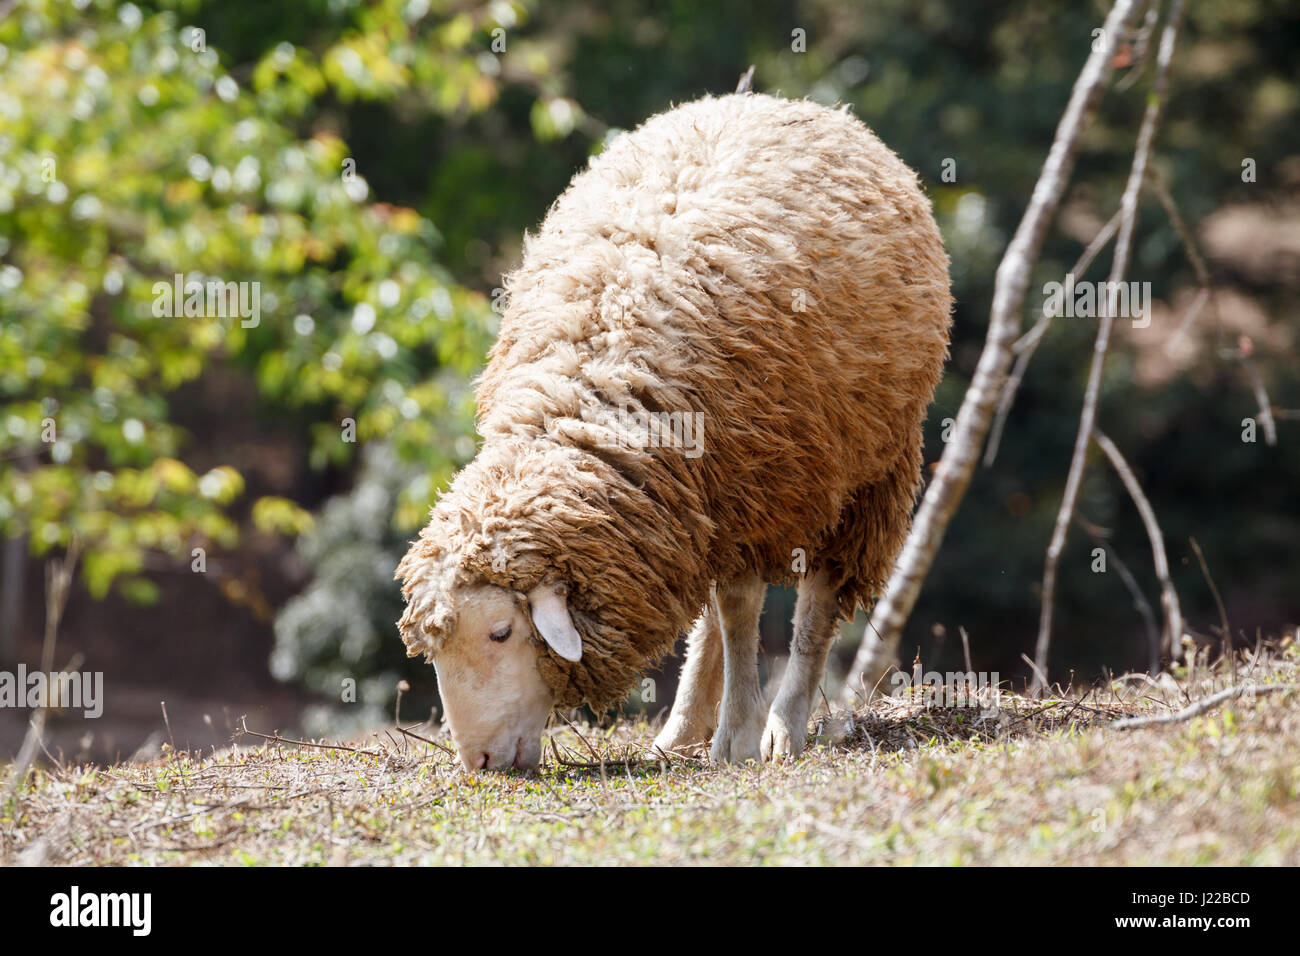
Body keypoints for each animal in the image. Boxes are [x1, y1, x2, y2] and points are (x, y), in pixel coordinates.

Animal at [396, 91, 952, 771]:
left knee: (817, 601)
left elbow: (743, 614)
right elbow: (725, 613)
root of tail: (787, 102)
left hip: (865, 469)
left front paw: (740, 736)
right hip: (705, 509)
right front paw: (717, 727)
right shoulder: (700, 494)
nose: (477, 764)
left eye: (501, 632)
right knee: (711, 613)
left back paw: (783, 726)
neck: (589, 401)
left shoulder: (753, 484)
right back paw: (682, 729)